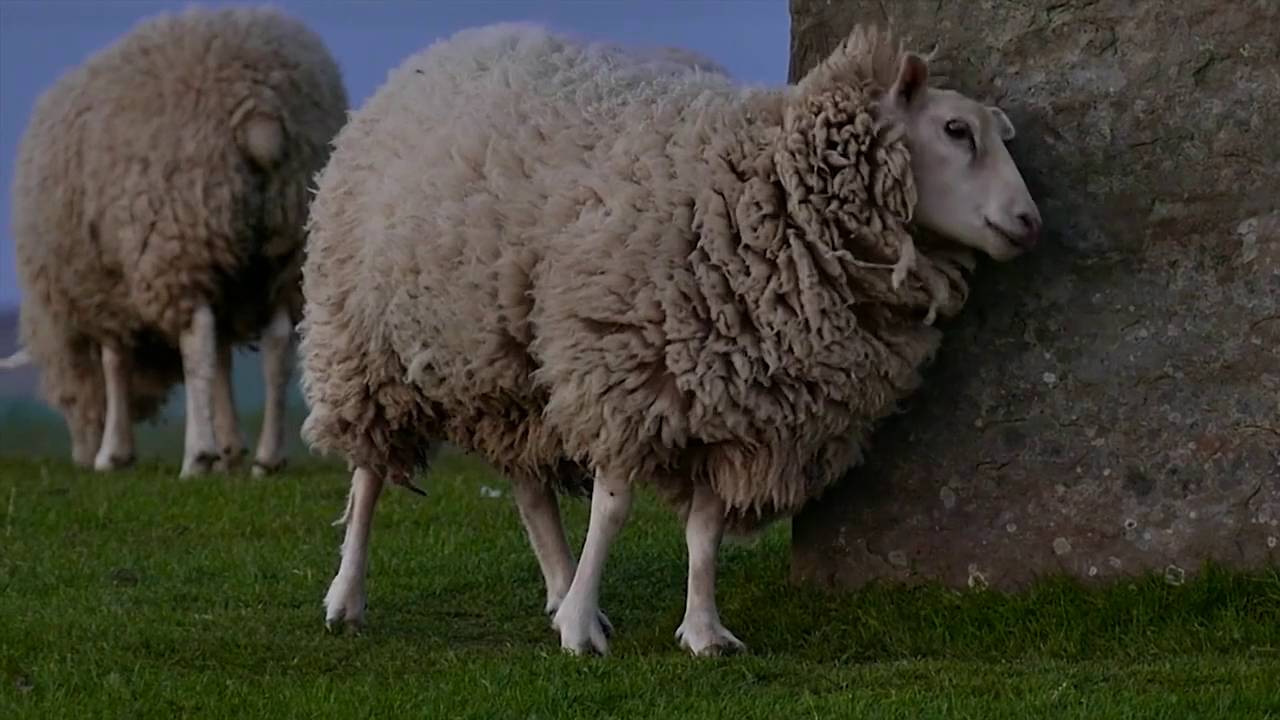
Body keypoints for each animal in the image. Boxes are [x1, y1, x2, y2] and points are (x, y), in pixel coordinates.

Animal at [4, 4, 348, 477]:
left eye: (66, 398)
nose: (80, 456)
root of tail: (259, 110)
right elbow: (222, 360)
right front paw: (230, 449)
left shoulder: (105, 291)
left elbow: (116, 363)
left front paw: (114, 452)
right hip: (289, 238)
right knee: (278, 342)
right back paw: (267, 458)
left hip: (178, 231)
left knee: (197, 339)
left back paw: (196, 456)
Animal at [299, 22, 1042, 657]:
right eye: (955, 130)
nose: (1030, 221)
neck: (764, 191)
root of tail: (433, 54)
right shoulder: (625, 371)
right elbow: (614, 507)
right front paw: (580, 633)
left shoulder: (733, 403)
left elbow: (705, 530)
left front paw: (703, 630)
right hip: (363, 345)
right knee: (367, 476)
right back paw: (347, 599)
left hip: (510, 371)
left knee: (530, 491)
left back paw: (561, 589)